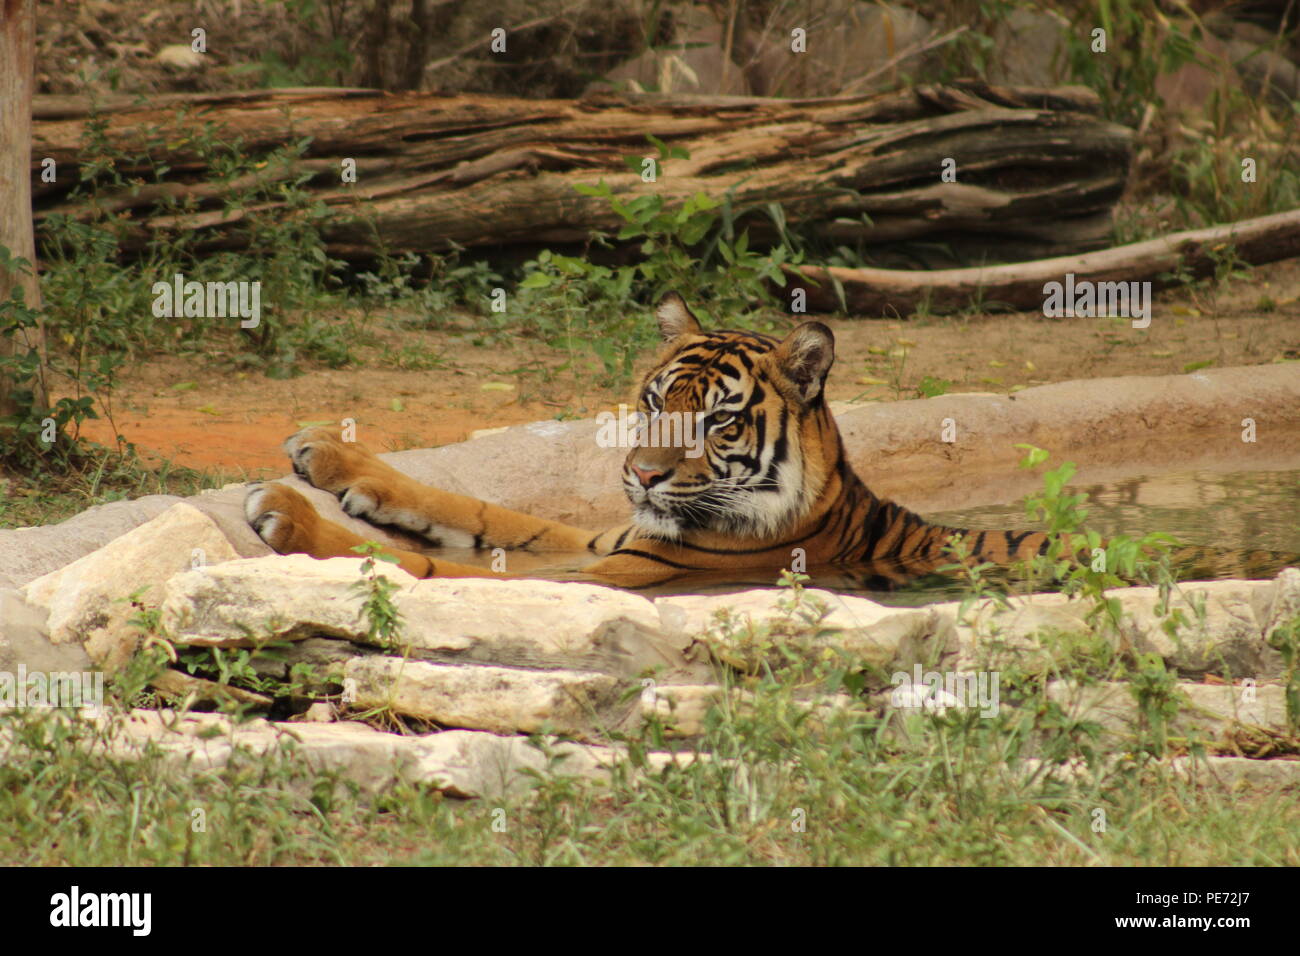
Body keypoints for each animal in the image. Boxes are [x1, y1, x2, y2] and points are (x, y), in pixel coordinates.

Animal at [244, 291, 1059, 589]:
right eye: (656, 401)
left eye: (718, 422)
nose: (640, 476)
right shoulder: (596, 538)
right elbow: (476, 509)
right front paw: (325, 450)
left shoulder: (602, 573)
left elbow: (420, 564)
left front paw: (284, 512)